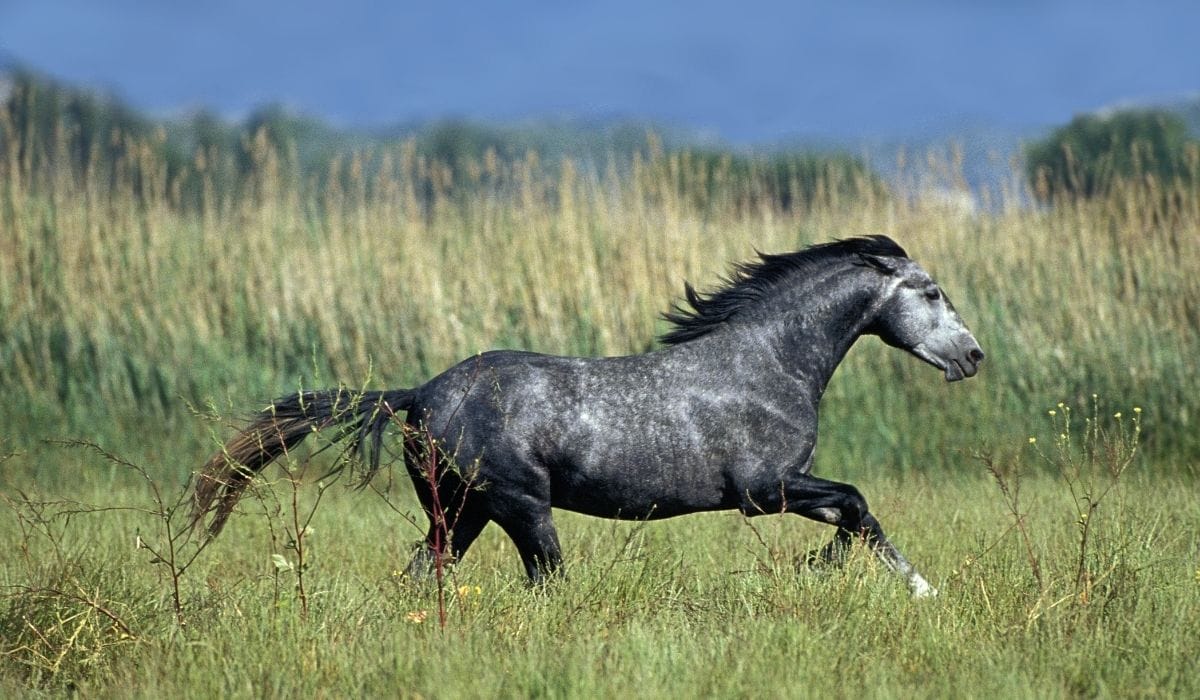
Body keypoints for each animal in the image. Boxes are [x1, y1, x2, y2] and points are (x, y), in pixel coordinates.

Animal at [192, 235, 984, 597]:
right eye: (932, 293)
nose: (973, 355)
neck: (769, 363)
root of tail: (418, 395)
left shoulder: (785, 489)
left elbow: (857, 513)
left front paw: (893, 582)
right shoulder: (765, 490)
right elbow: (855, 502)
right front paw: (898, 584)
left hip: (462, 510)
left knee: (423, 571)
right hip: (519, 505)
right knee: (545, 580)